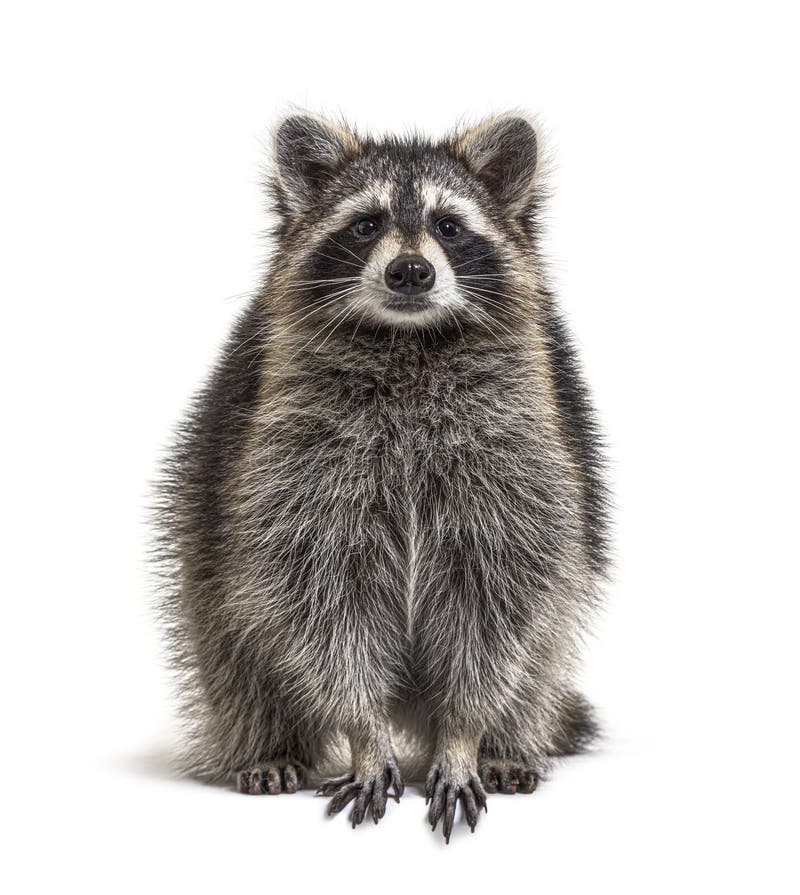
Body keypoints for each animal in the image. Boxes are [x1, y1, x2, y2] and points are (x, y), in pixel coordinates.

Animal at [155, 111, 608, 843]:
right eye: (366, 224)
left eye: (449, 225)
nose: (410, 271)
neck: (409, 341)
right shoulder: (292, 459)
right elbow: (319, 601)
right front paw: (364, 732)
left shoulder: (522, 455)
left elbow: (501, 603)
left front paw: (464, 733)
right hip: (206, 540)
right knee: (232, 655)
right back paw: (267, 744)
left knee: (540, 651)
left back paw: (508, 742)